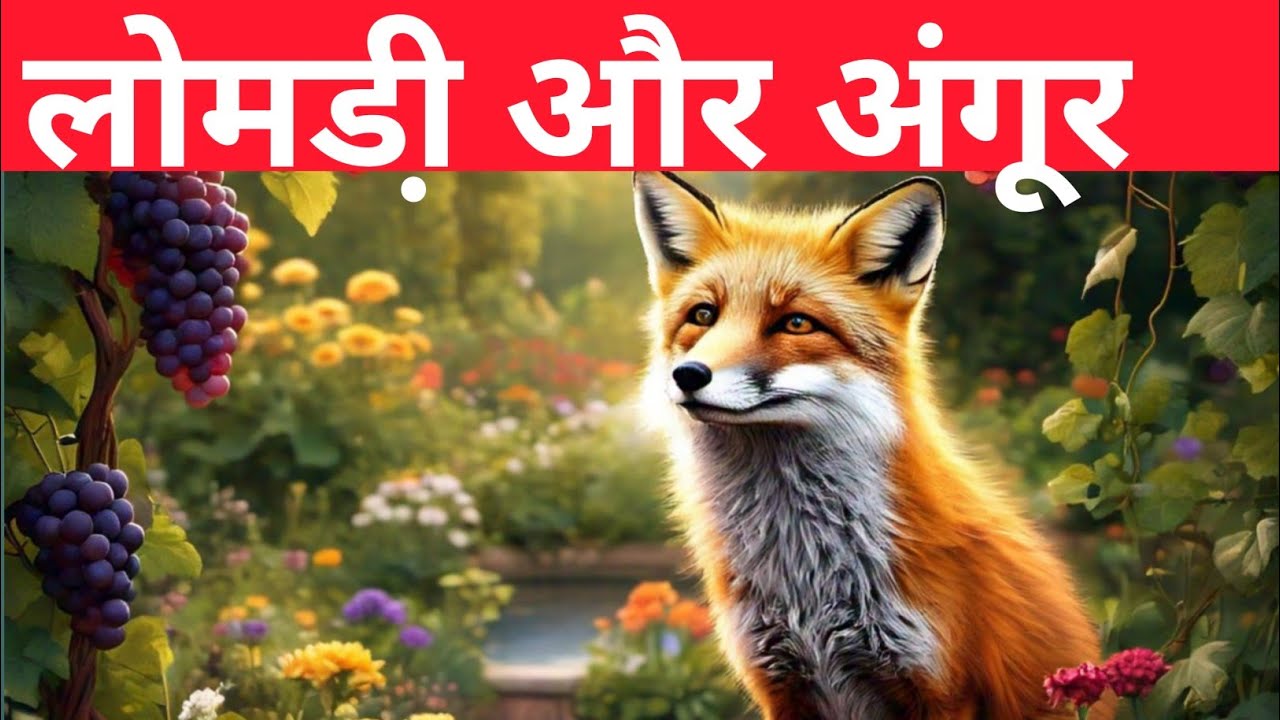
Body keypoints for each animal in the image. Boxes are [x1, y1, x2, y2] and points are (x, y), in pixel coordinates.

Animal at [632, 171, 1114, 720]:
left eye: (796, 322)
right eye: (703, 315)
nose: (688, 375)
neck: (807, 581)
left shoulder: (942, 688)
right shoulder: (780, 683)